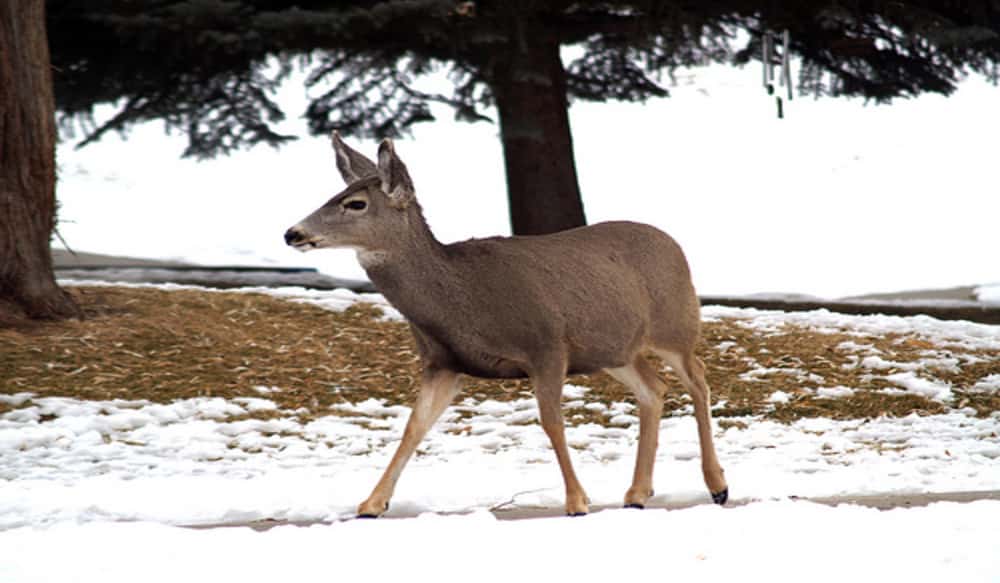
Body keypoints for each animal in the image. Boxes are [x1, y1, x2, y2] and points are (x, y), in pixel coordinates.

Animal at [284, 133, 728, 518]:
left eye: (355, 203)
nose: (293, 233)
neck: (460, 303)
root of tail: (674, 244)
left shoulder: (547, 346)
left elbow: (552, 421)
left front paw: (576, 501)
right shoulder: (442, 362)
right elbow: (414, 426)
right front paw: (372, 504)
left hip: (675, 324)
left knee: (698, 378)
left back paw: (717, 485)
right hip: (615, 349)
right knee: (654, 389)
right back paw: (637, 493)